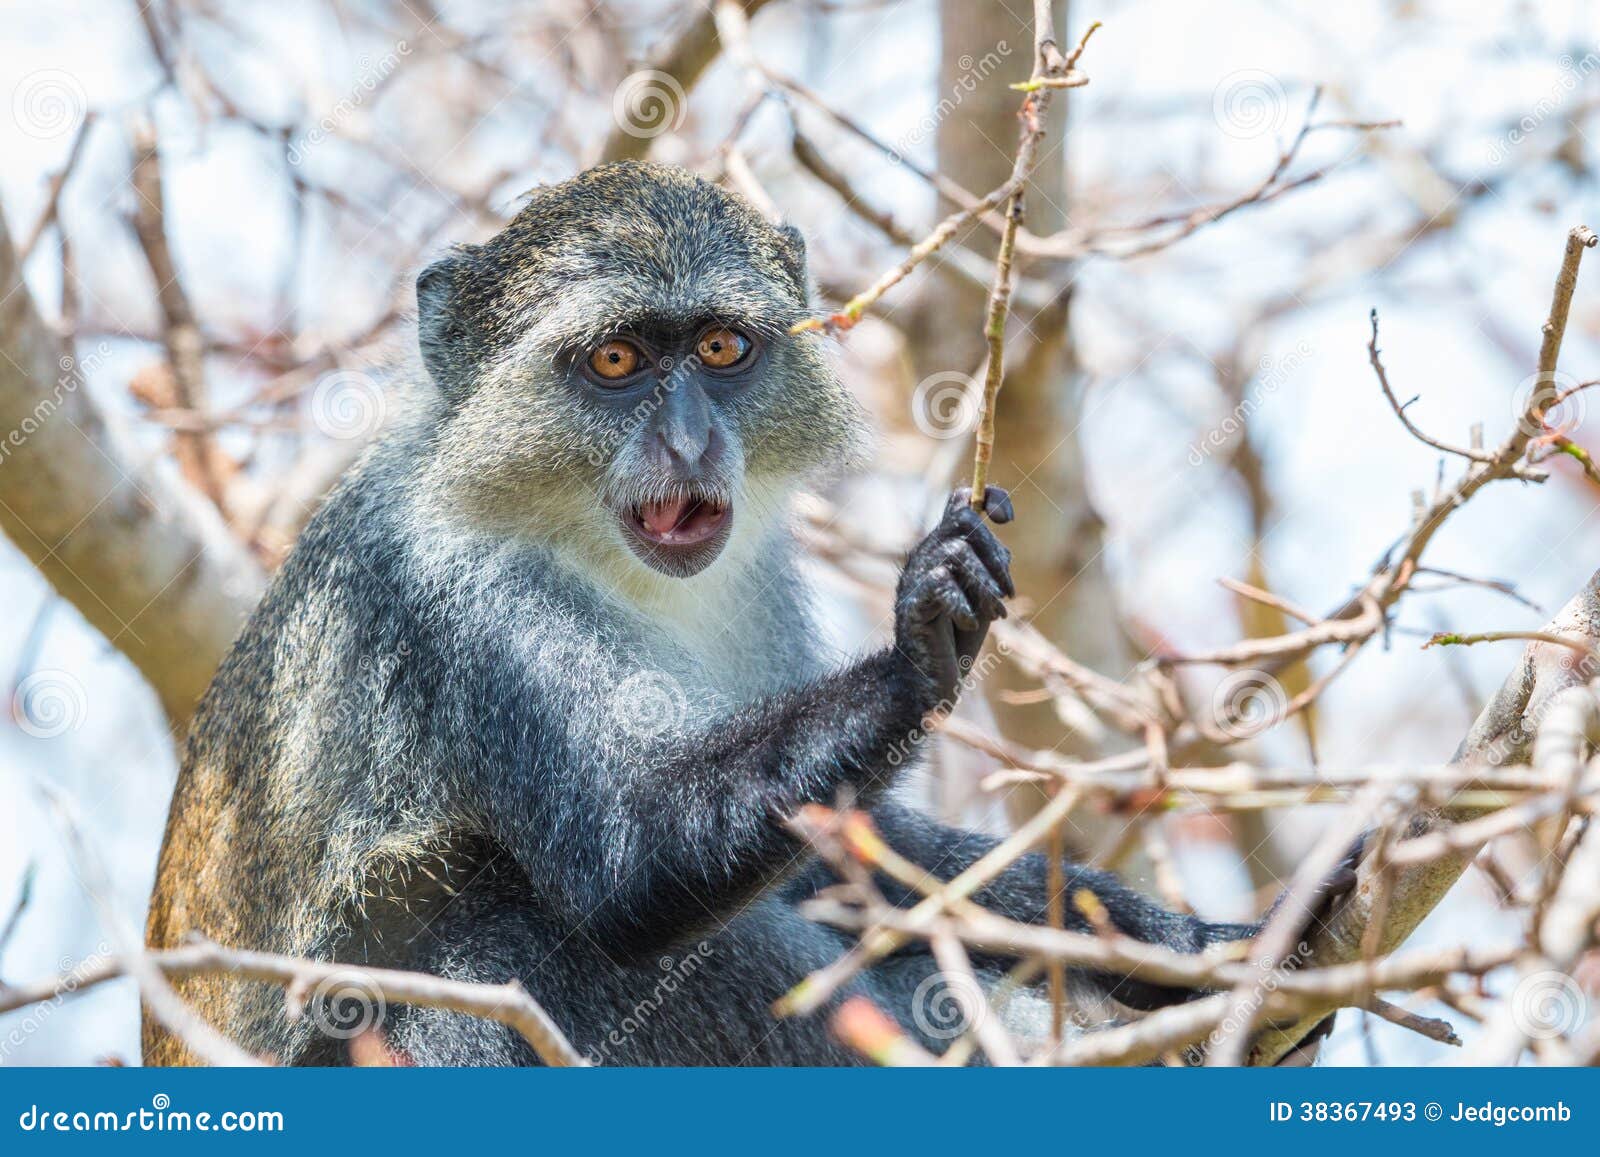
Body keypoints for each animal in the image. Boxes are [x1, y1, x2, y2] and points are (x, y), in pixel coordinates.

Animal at [145, 161, 1351, 1066]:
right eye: (617, 359)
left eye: (721, 348)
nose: (689, 444)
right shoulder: (449, 593)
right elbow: (631, 854)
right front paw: (922, 642)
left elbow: (832, 854)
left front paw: (1160, 937)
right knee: (469, 926)